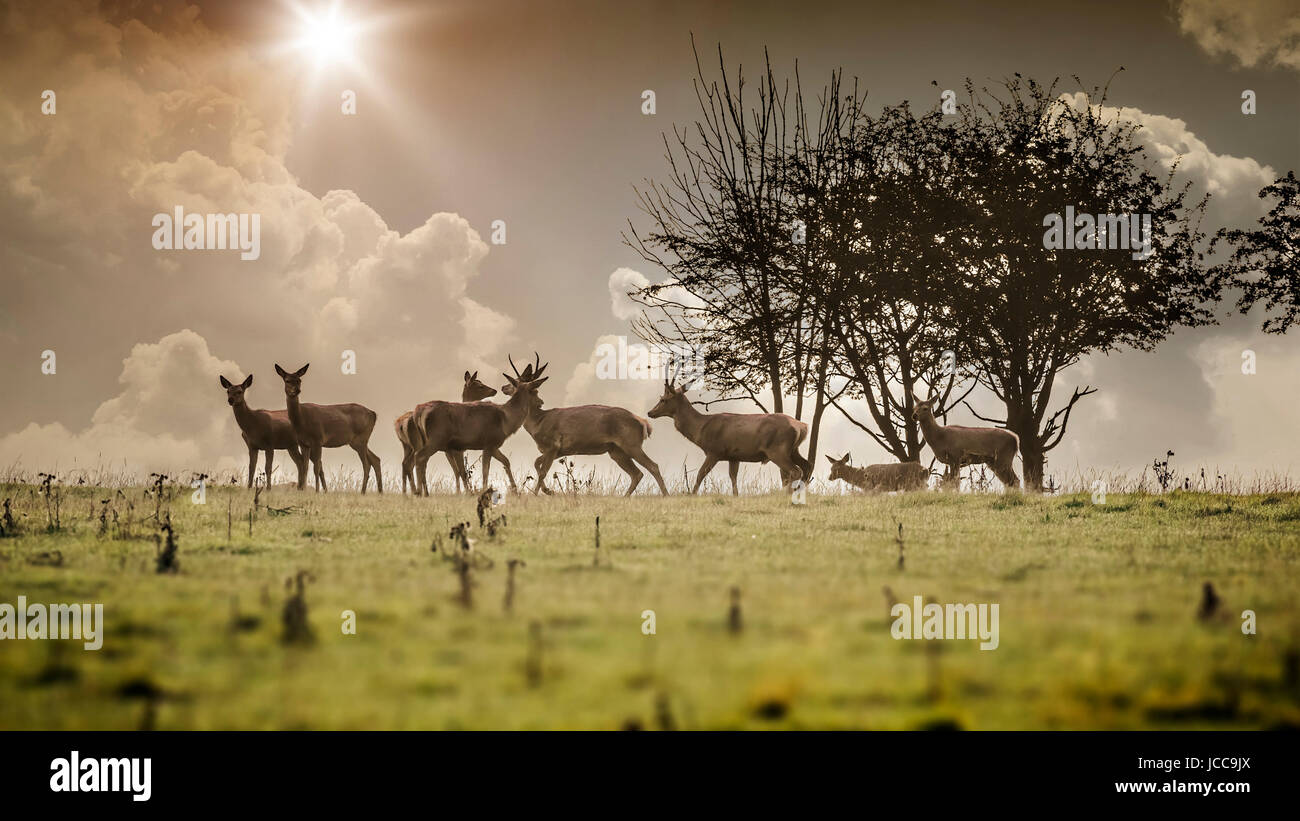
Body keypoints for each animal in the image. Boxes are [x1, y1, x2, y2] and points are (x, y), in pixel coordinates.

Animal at [274, 363, 383, 493]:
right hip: (358, 441)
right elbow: (305, 467)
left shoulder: (318, 439)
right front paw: (304, 491)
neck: (301, 421)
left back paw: (363, 492)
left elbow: (316, 467)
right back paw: (380, 491)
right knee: (375, 459)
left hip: (361, 438)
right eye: (287, 380)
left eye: (299, 380)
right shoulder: (303, 443)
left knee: (366, 464)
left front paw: (316, 491)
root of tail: (373, 414)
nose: (297, 390)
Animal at [413, 355, 548, 493]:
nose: (541, 402)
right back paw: (418, 492)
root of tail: (419, 412)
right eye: (534, 391)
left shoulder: (494, 445)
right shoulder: (488, 443)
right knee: (419, 457)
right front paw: (484, 491)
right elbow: (485, 471)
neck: (506, 419)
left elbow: (506, 461)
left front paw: (515, 490)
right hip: (436, 439)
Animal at [501, 353, 668, 496]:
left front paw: (536, 494)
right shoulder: (559, 451)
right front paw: (548, 491)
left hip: (631, 443)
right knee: (637, 473)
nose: (502, 387)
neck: (539, 421)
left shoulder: (553, 445)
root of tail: (643, 422)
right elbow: (537, 463)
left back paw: (665, 495)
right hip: (616, 451)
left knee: (653, 466)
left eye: (513, 382)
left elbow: (543, 471)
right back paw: (625, 497)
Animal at [647, 373, 811, 495]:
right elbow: (733, 477)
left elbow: (700, 474)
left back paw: (788, 494)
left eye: (663, 399)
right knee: (807, 465)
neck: (700, 429)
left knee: (796, 471)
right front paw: (736, 496)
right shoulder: (734, 456)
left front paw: (692, 495)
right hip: (793, 449)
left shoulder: (714, 451)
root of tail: (802, 426)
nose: (650, 412)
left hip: (777, 449)